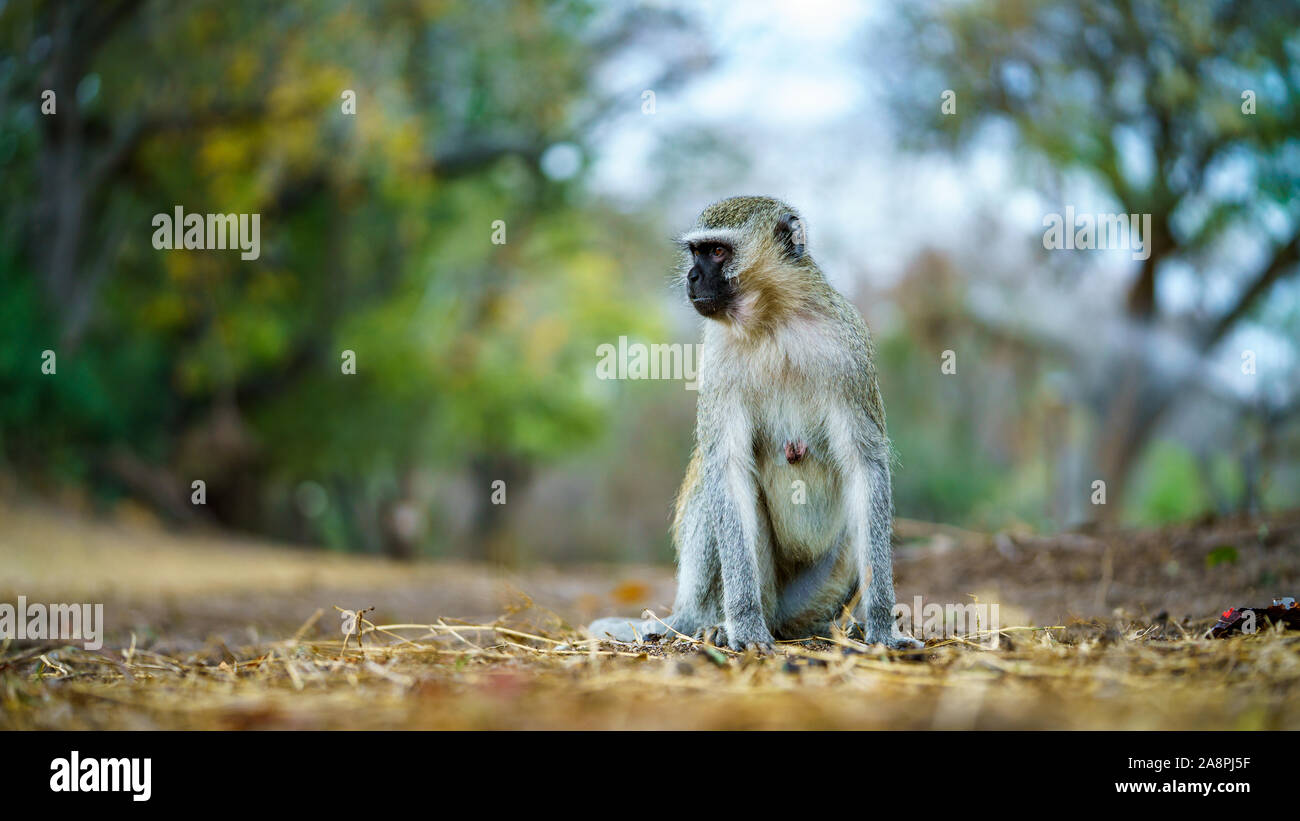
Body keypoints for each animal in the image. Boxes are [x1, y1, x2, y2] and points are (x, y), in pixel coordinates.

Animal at [588, 196, 922, 652]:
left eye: (716, 252)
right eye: (696, 252)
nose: (692, 277)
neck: (773, 320)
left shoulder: (848, 346)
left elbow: (864, 466)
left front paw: (883, 625)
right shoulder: (717, 356)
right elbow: (727, 469)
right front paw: (744, 625)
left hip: (813, 592)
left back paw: (824, 627)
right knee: (714, 490)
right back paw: (714, 623)